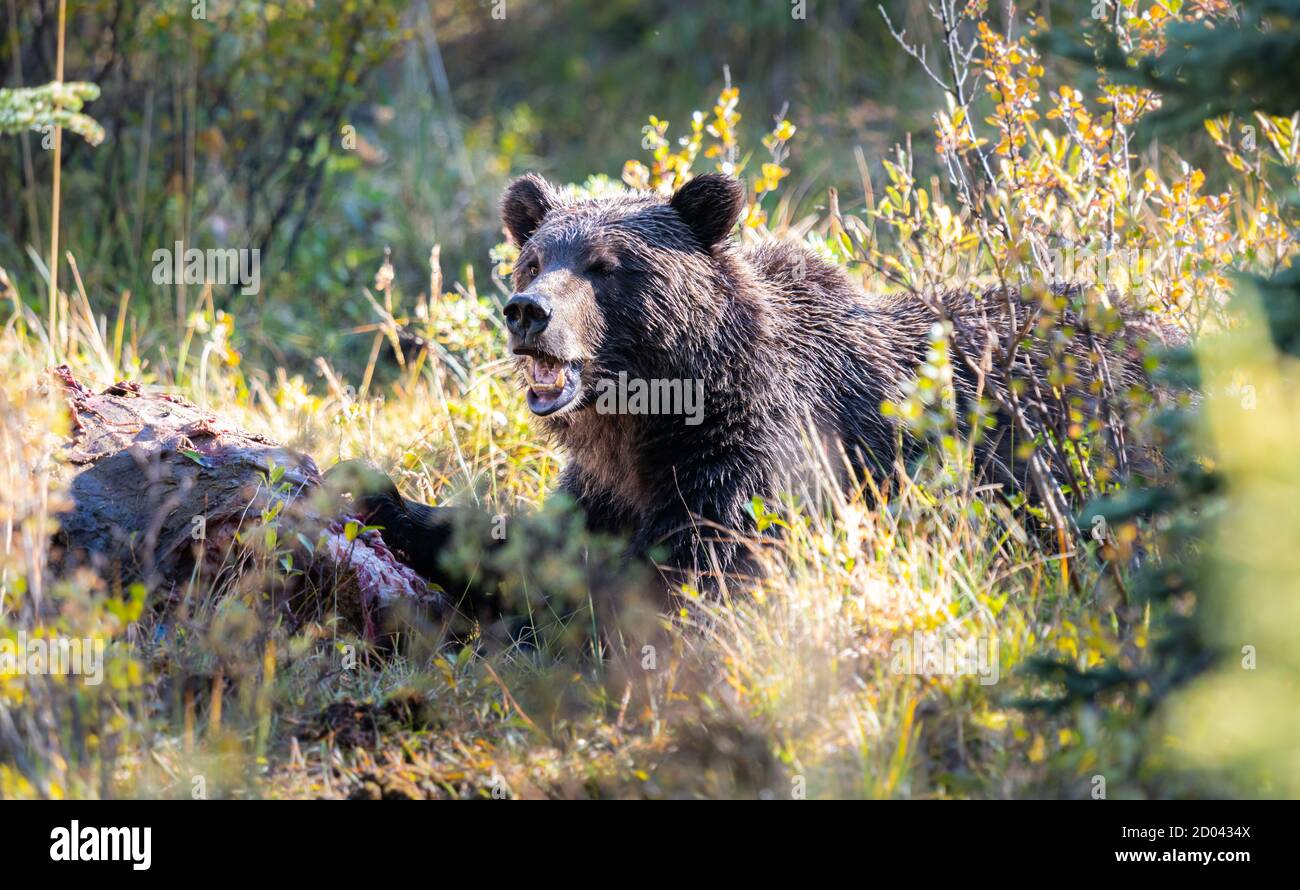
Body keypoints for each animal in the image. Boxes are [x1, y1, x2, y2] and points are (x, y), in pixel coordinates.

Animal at [344, 172, 1168, 613]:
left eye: (607, 265)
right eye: (536, 258)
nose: (528, 313)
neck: (647, 418)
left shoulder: (763, 457)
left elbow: (702, 567)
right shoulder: (604, 486)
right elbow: (530, 540)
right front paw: (379, 495)